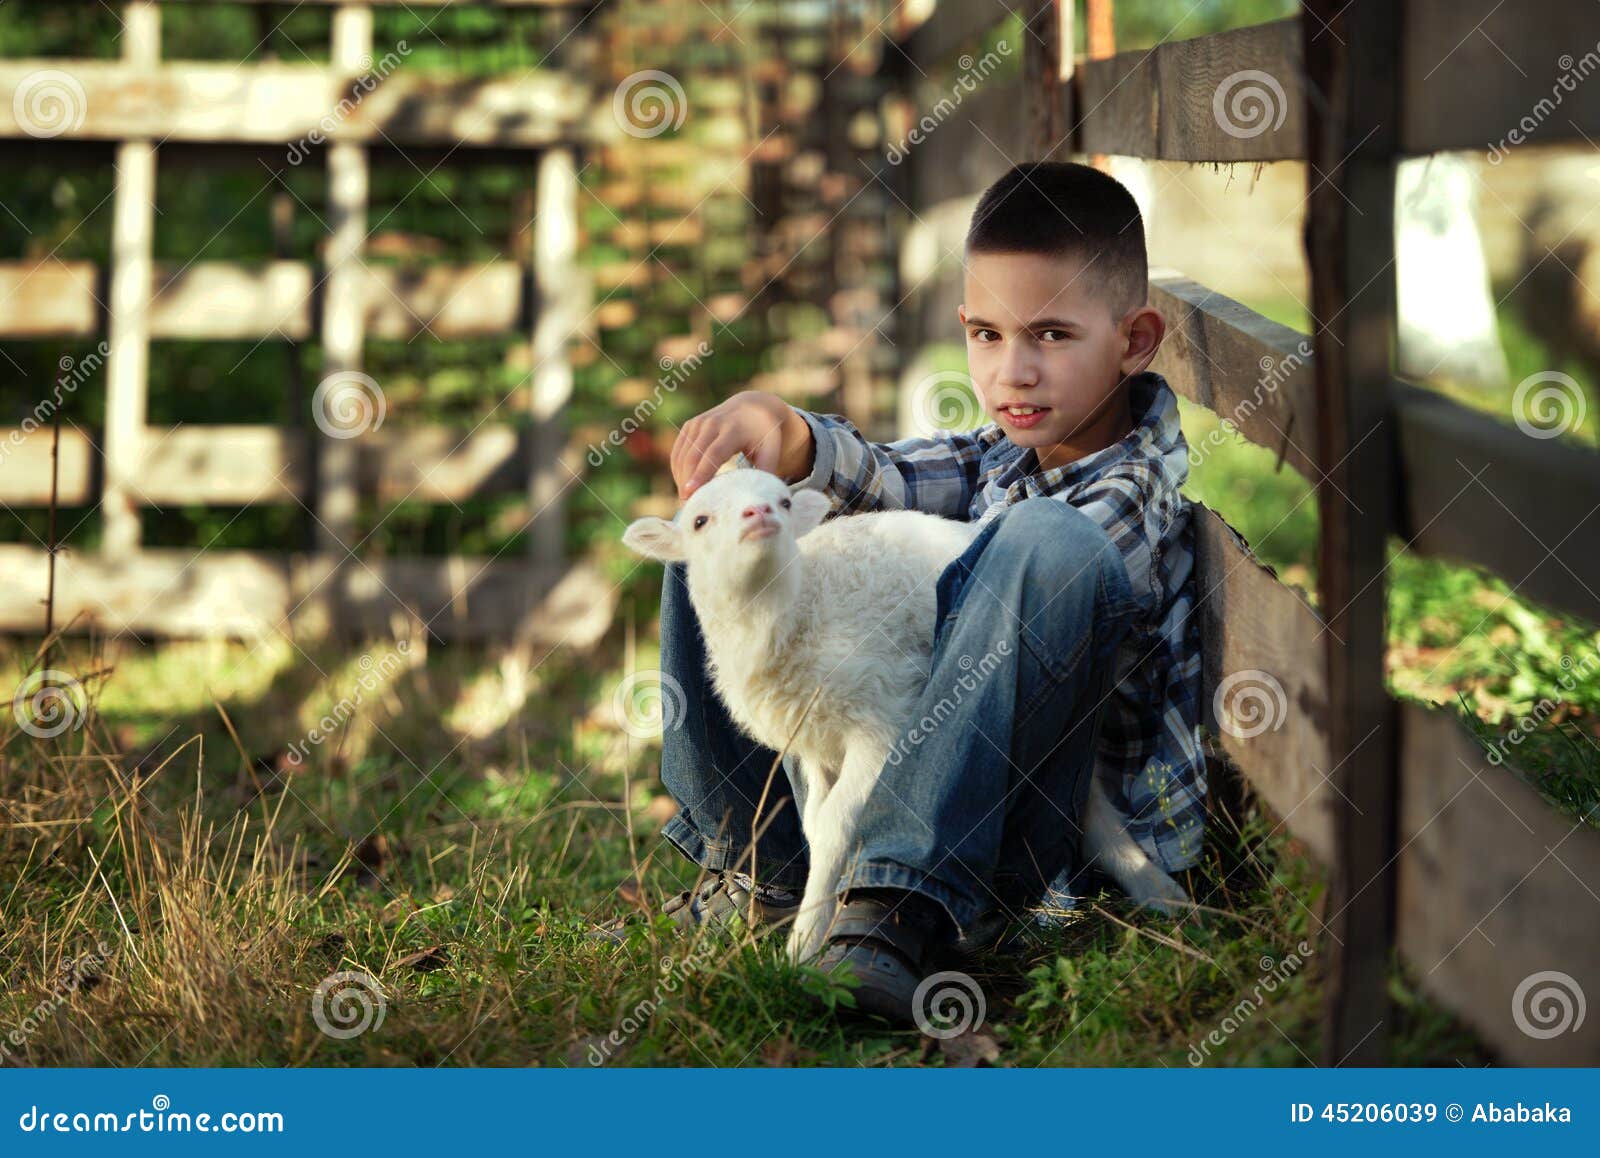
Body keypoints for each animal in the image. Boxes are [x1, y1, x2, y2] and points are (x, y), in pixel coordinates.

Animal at [623, 467, 1190, 963]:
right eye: (700, 521)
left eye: (783, 501)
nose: (761, 513)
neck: (793, 610)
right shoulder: (813, 740)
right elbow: (814, 819)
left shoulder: (883, 711)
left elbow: (834, 824)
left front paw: (805, 943)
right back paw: (1157, 891)